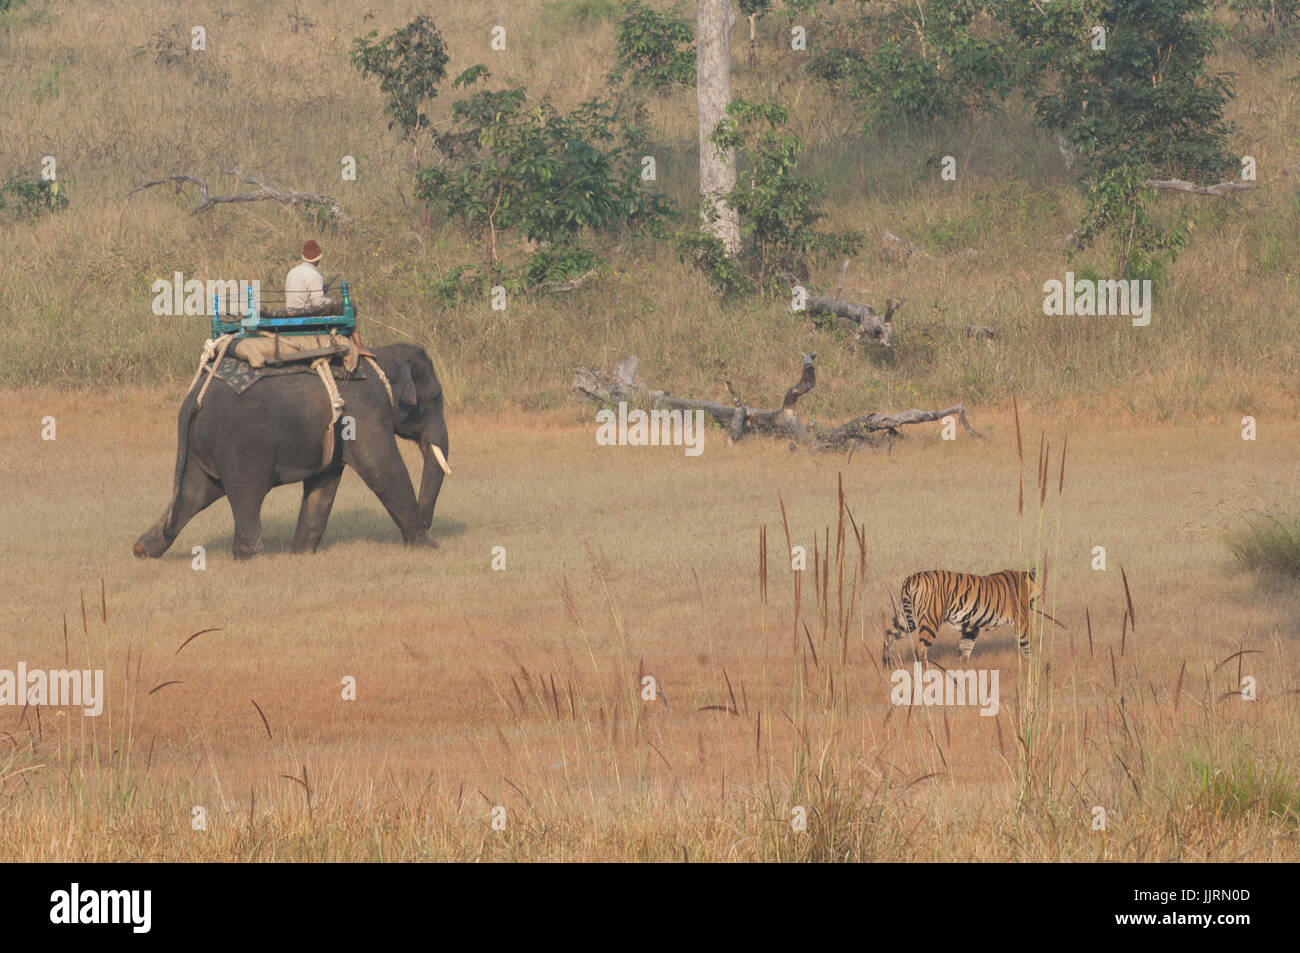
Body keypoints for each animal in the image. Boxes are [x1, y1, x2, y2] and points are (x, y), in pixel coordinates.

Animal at [881, 569, 1041, 666]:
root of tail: (912, 578)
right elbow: (1027, 645)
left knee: (889, 632)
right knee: (920, 648)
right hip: (930, 620)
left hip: (907, 618)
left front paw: (963, 669)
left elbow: (965, 648)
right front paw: (1033, 666)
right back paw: (925, 672)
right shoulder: (1022, 620)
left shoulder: (971, 626)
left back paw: (886, 662)